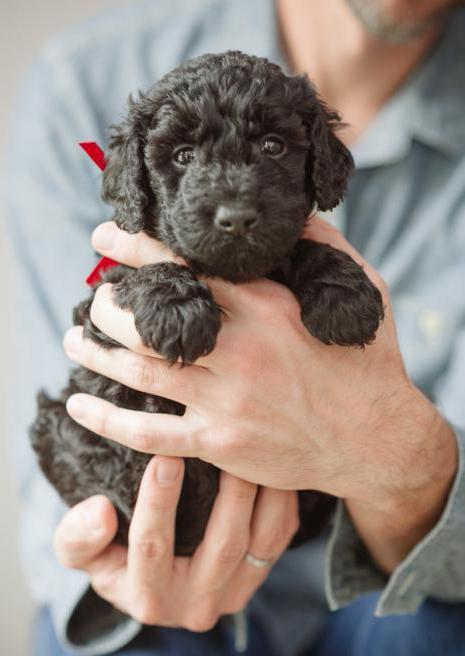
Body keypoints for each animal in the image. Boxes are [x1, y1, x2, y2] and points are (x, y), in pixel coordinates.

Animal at [30, 51, 382, 552]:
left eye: (273, 146)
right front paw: (179, 313)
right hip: (56, 421)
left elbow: (299, 246)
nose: (236, 218)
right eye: (183, 156)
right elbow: (142, 270)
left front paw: (343, 294)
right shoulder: (104, 297)